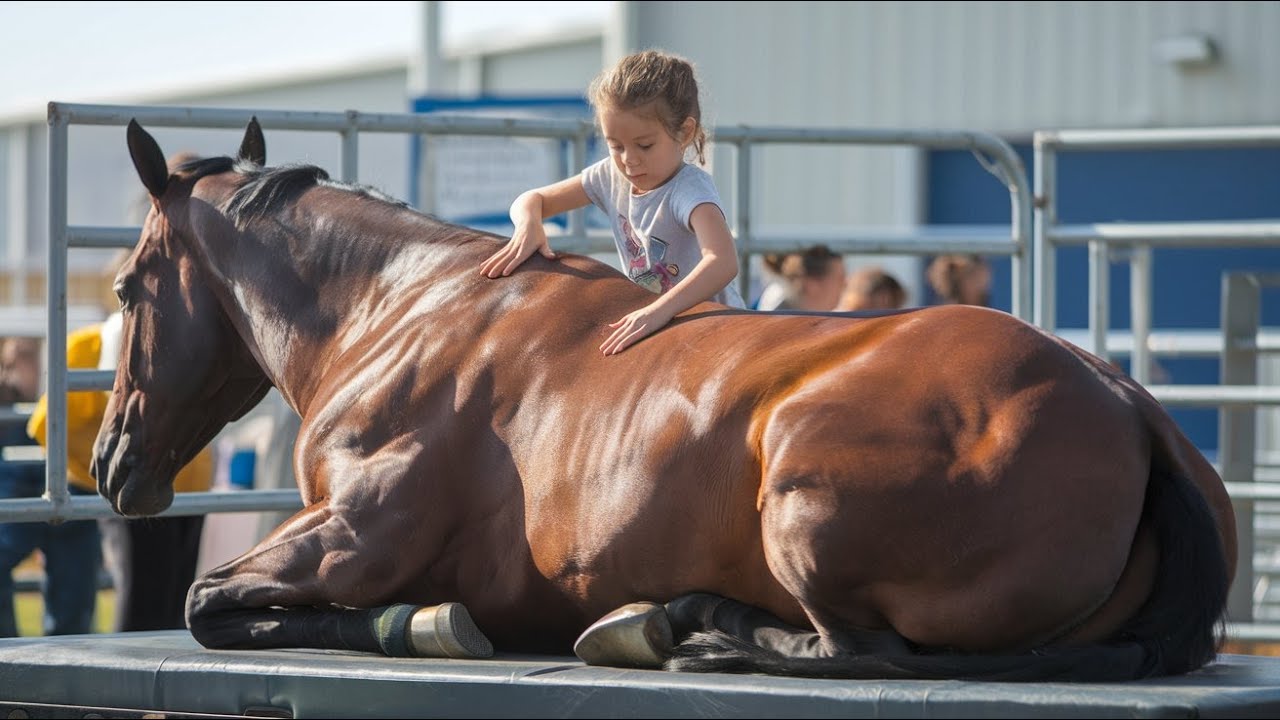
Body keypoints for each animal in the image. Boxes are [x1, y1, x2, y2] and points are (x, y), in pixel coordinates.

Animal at [91, 117, 1236, 682]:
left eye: (126, 288)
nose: (108, 464)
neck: (405, 305)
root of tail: (1126, 406)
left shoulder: (350, 540)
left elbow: (209, 605)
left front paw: (423, 625)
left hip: (804, 511)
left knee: (859, 649)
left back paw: (689, 629)